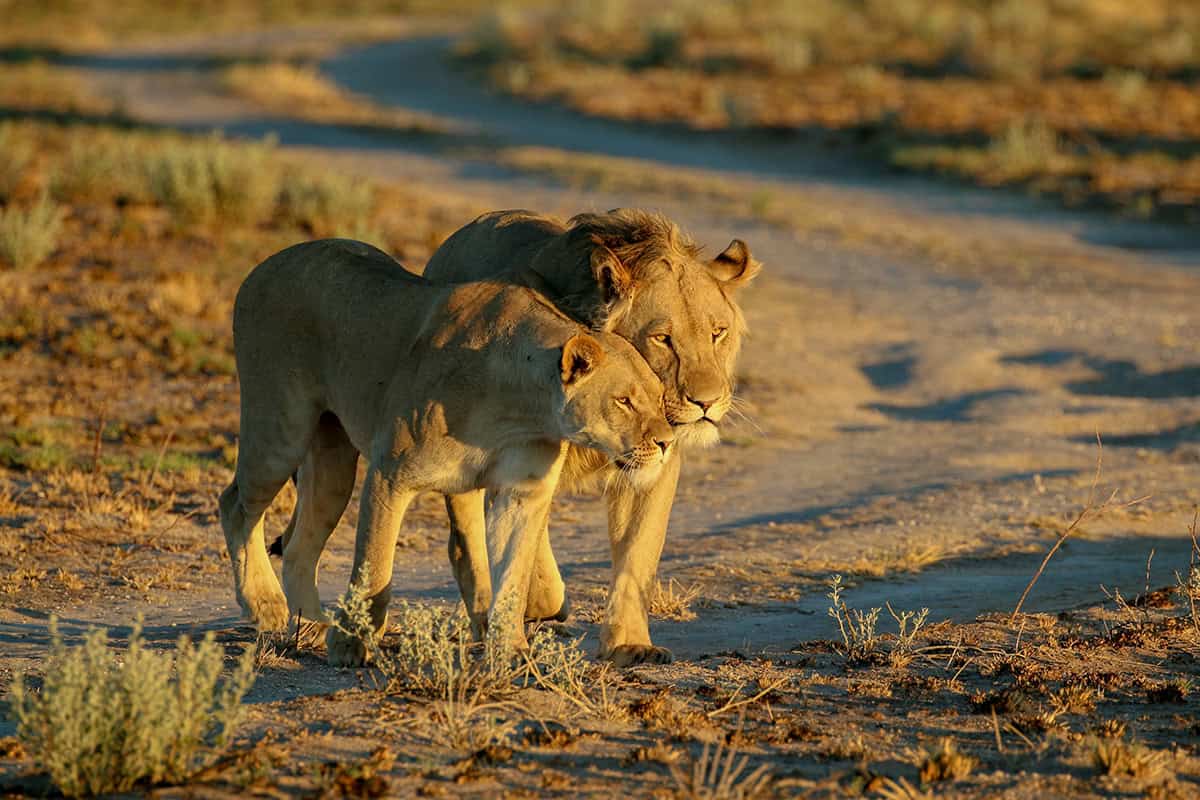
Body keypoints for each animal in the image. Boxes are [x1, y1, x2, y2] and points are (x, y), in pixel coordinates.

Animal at [219, 238, 674, 665]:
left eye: (656, 396)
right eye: (623, 401)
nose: (667, 442)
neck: (520, 409)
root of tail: (264, 265)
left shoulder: (522, 492)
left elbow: (512, 575)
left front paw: (511, 650)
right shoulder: (391, 472)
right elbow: (374, 563)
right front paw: (353, 643)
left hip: (332, 459)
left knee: (300, 544)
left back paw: (311, 626)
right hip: (280, 428)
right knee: (236, 505)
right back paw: (266, 607)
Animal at [422, 209, 761, 667]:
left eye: (717, 333)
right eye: (662, 338)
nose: (706, 402)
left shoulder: (654, 464)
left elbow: (638, 552)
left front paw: (630, 645)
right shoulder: (522, 454)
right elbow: (527, 547)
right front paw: (538, 606)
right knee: (465, 543)